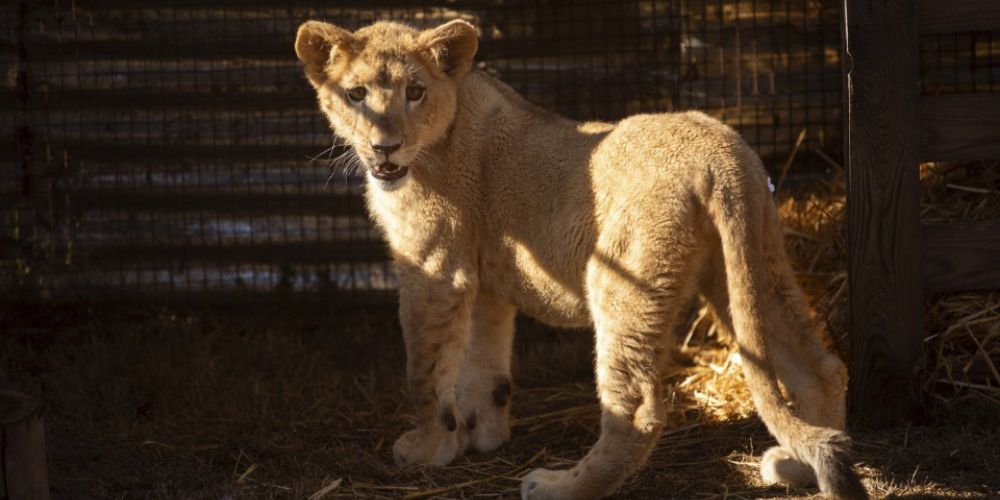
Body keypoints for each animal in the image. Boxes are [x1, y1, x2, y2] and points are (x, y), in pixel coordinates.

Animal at [295, 19, 868, 500]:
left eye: (415, 92)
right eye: (356, 94)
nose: (385, 147)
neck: (445, 124)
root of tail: (718, 157)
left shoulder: (435, 269)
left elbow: (426, 372)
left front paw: (427, 449)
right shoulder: (485, 282)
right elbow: (484, 366)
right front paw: (480, 436)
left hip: (622, 279)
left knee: (636, 411)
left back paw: (556, 486)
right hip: (748, 265)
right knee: (819, 367)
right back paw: (799, 467)